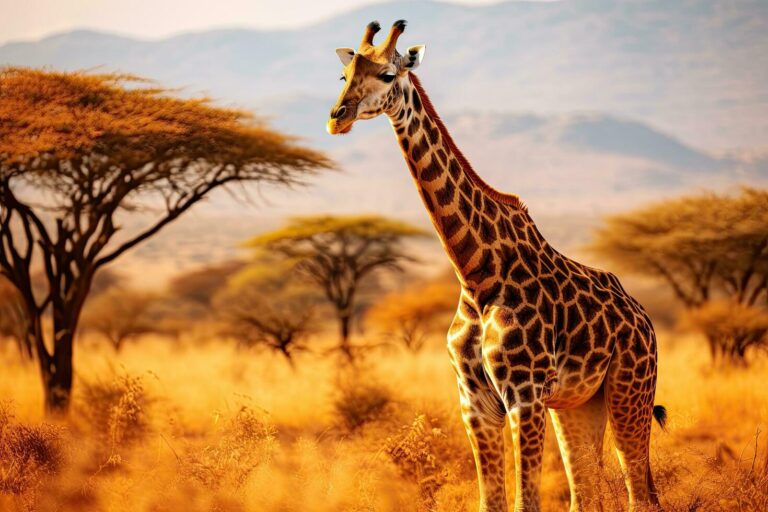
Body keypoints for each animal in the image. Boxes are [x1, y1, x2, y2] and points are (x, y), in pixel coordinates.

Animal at [327, 20, 666, 512]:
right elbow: (493, 502)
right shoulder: (475, 403)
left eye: (388, 75)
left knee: (641, 493)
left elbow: (526, 501)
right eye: (344, 74)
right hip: (577, 404)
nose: (338, 116)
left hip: (630, 390)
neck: (475, 271)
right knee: (585, 493)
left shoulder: (524, 396)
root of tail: (644, 318)